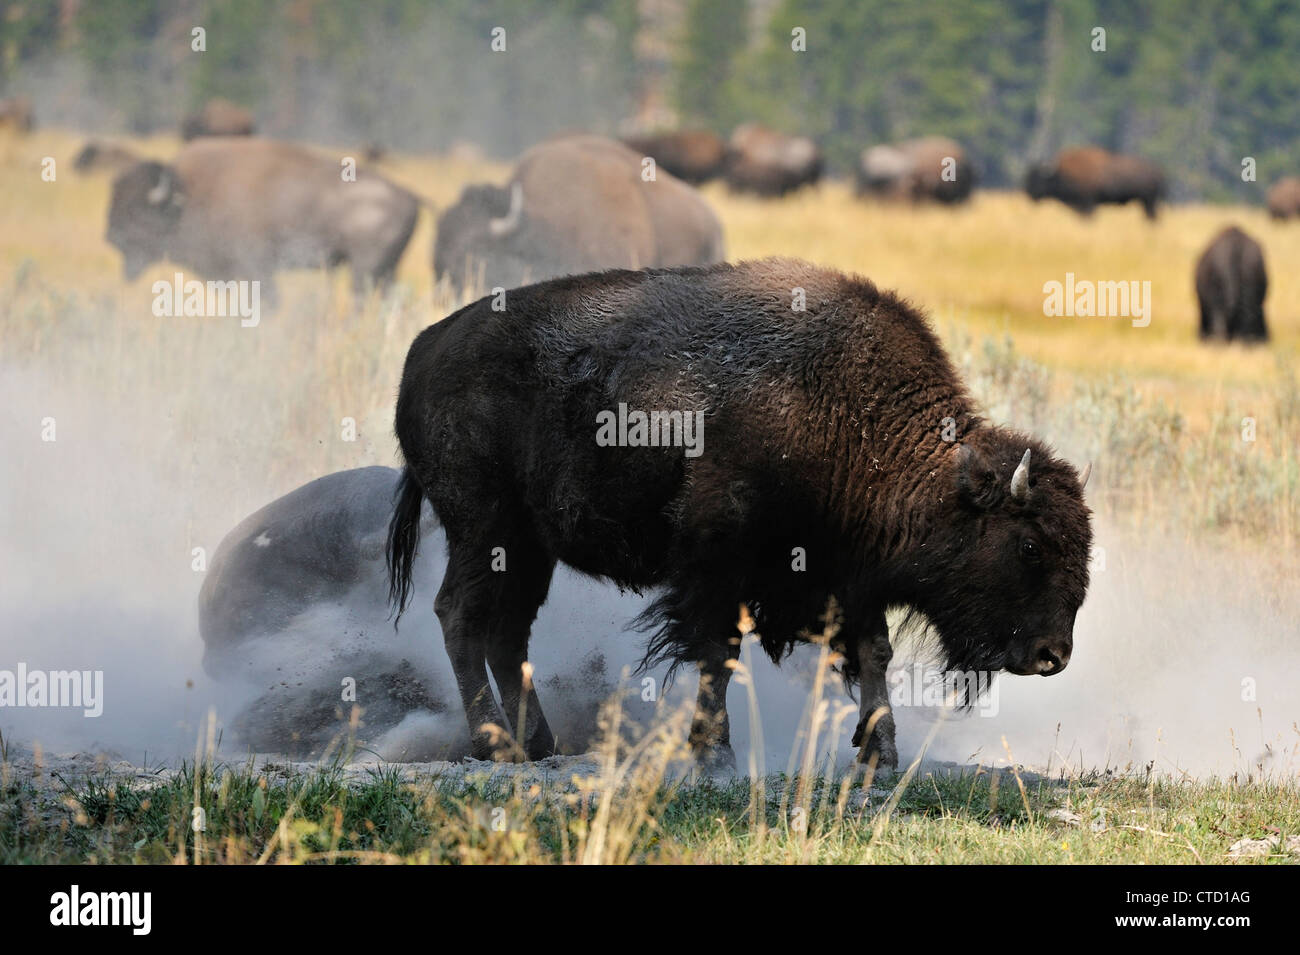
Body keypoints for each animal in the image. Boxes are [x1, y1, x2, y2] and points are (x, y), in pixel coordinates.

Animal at [107, 137, 420, 300]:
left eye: (135, 209)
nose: (110, 236)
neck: (188, 195)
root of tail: (409, 195)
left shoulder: (256, 270)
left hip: (364, 269)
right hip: (387, 270)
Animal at [386, 258, 1094, 772]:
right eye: (1030, 546)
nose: (1053, 654)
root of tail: (423, 348)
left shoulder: (848, 577)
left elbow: (874, 653)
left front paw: (881, 755)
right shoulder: (719, 564)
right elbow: (718, 652)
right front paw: (715, 752)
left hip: (529, 548)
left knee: (508, 633)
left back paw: (537, 747)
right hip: (483, 529)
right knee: (461, 615)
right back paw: (492, 744)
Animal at [1026, 146, 1165, 219]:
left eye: (1037, 178)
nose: (1029, 193)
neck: (1060, 174)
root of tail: (1158, 172)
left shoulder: (1087, 204)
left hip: (1149, 202)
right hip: (1147, 202)